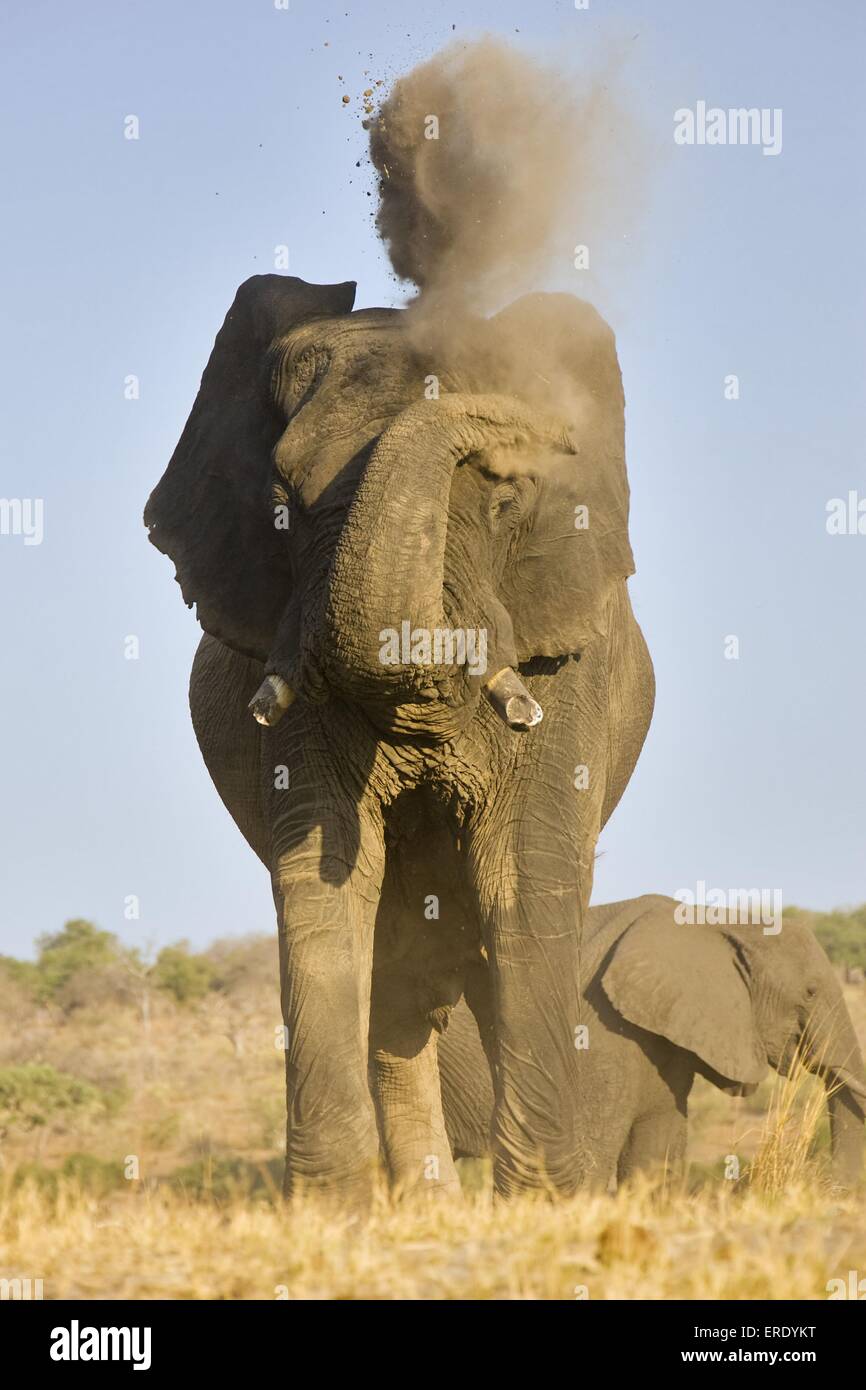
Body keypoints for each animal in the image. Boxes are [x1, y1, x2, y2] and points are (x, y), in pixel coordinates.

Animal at [145, 274, 655, 1199]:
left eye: (504, 501)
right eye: (284, 503)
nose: (529, 424)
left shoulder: (569, 670)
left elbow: (524, 875)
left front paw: (549, 1208)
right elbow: (323, 872)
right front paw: (331, 1213)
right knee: (399, 984)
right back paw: (426, 1205)